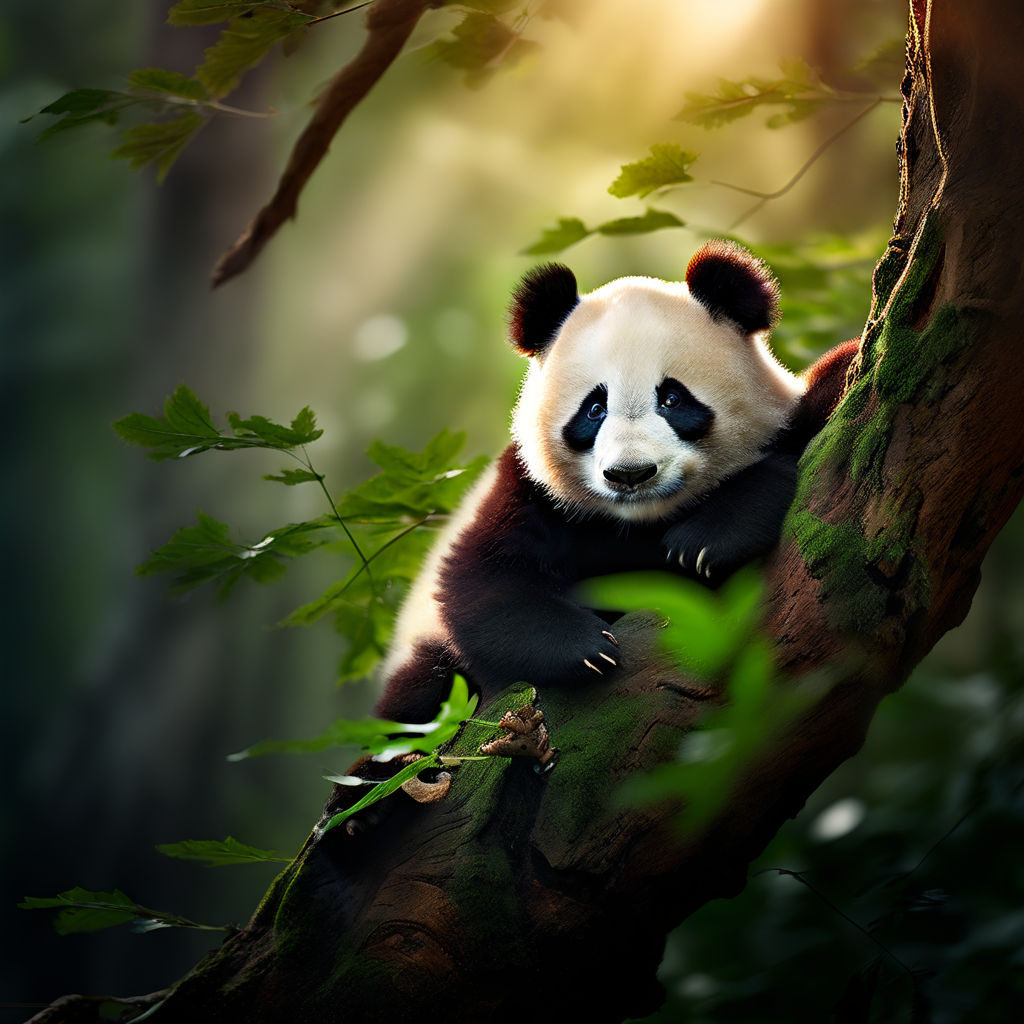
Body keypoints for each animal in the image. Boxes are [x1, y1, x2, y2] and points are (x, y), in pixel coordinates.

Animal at [376, 240, 858, 724]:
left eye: (672, 399)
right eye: (594, 409)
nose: (630, 474)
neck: (639, 523)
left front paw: (705, 542)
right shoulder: (530, 493)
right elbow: (482, 583)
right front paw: (585, 649)